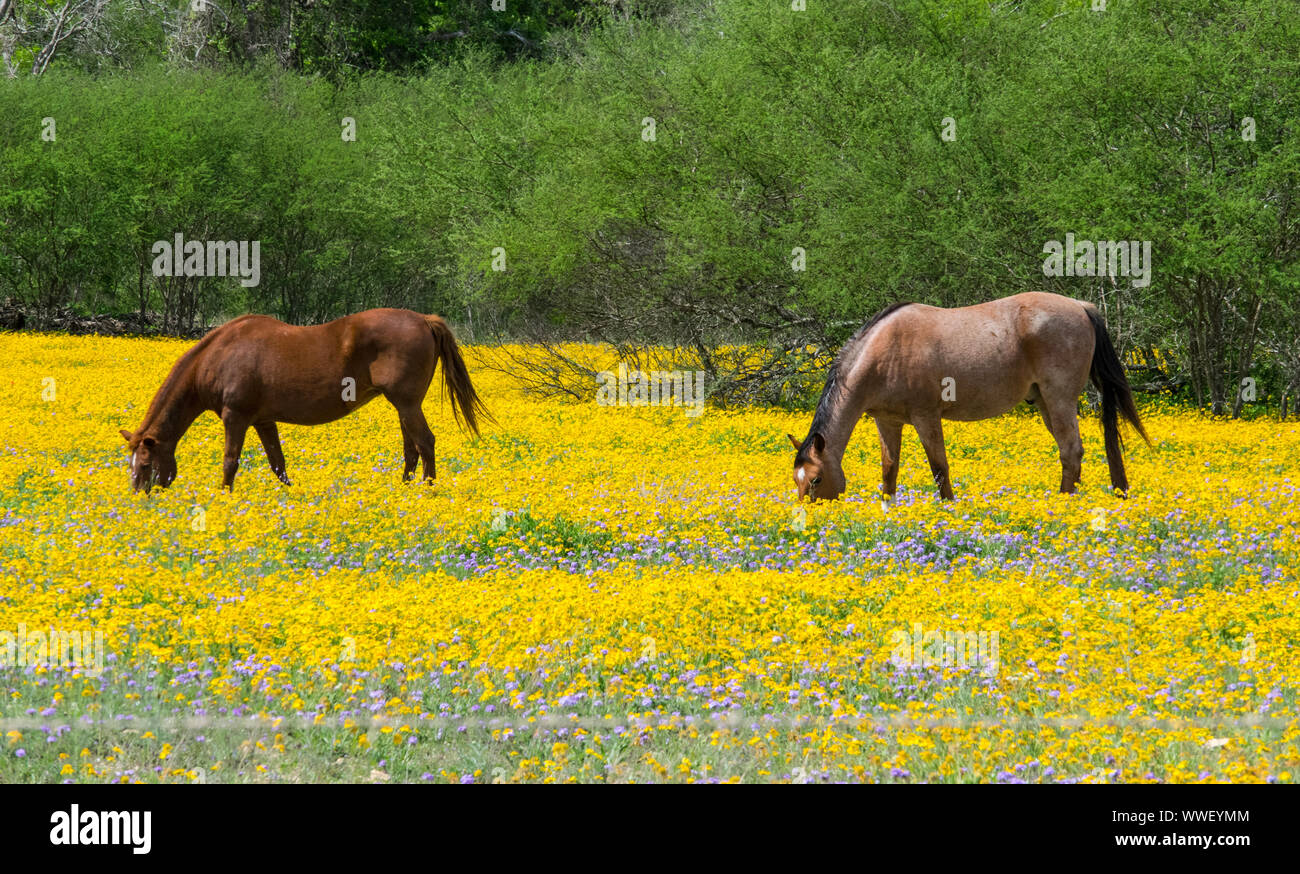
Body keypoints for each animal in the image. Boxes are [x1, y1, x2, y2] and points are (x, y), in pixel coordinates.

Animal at [119, 308, 491, 493]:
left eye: (146, 465)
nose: (139, 497)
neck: (219, 354)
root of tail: (423, 320)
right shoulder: (262, 420)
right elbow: (277, 463)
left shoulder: (235, 416)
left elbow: (230, 461)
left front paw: (225, 496)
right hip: (403, 406)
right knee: (411, 448)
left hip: (407, 403)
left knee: (425, 443)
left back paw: (427, 490)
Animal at [789, 292, 1149, 502]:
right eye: (797, 480)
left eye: (817, 479)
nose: (812, 521)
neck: (885, 350)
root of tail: (1081, 306)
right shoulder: (887, 421)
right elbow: (889, 470)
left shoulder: (926, 417)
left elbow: (939, 468)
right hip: (1046, 402)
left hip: (1059, 399)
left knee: (1071, 451)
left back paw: (1063, 504)